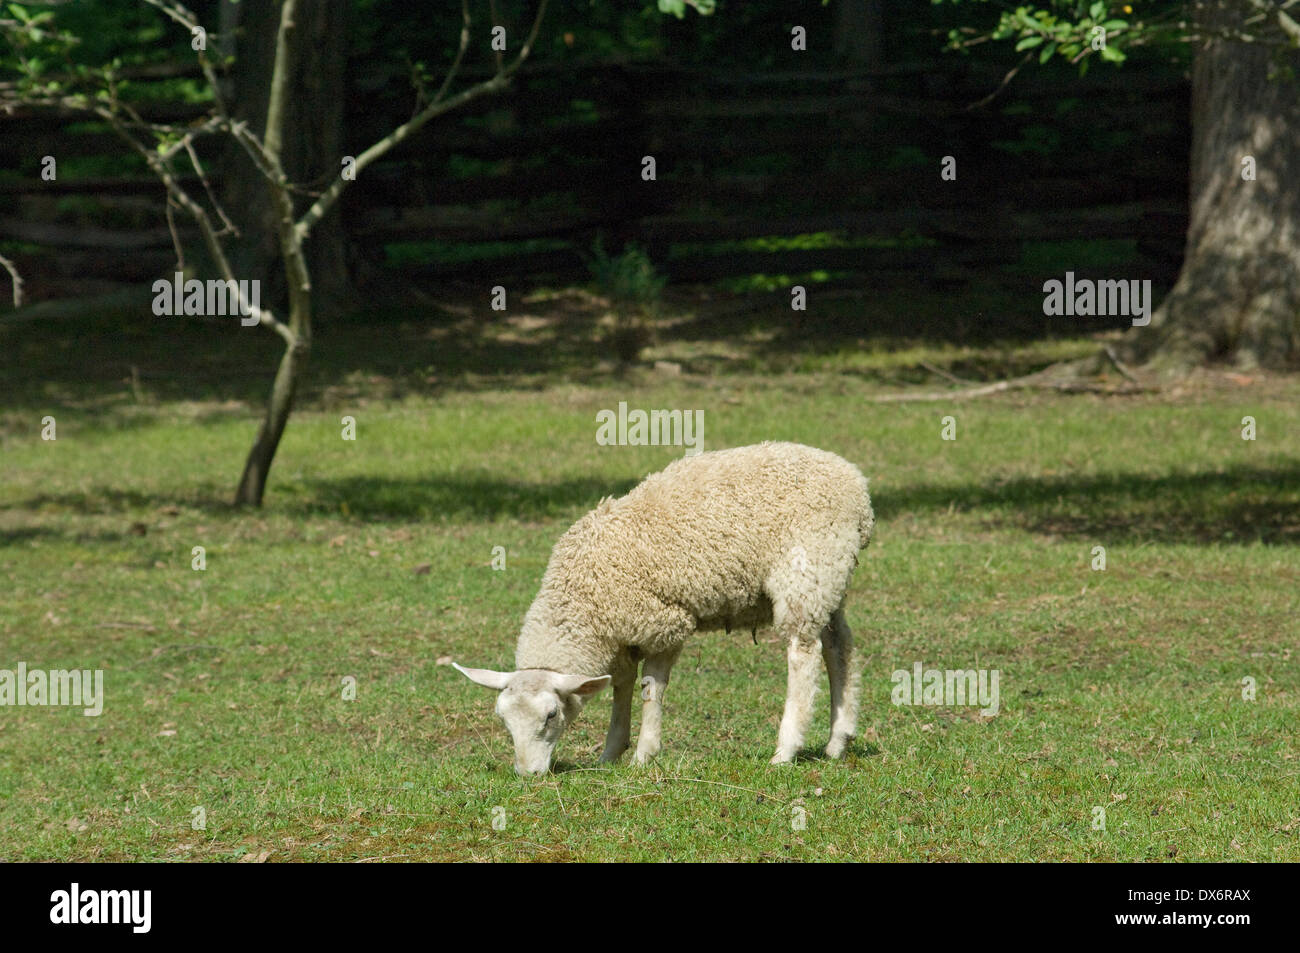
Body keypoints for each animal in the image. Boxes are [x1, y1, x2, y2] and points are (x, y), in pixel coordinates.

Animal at [454, 440, 874, 775]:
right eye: (503, 719)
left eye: (551, 715)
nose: (527, 774)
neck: (584, 600)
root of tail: (857, 486)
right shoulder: (621, 636)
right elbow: (620, 687)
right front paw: (610, 753)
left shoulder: (663, 624)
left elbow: (650, 689)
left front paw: (644, 755)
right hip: (830, 577)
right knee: (840, 648)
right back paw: (838, 741)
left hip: (805, 573)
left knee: (804, 654)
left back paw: (785, 750)